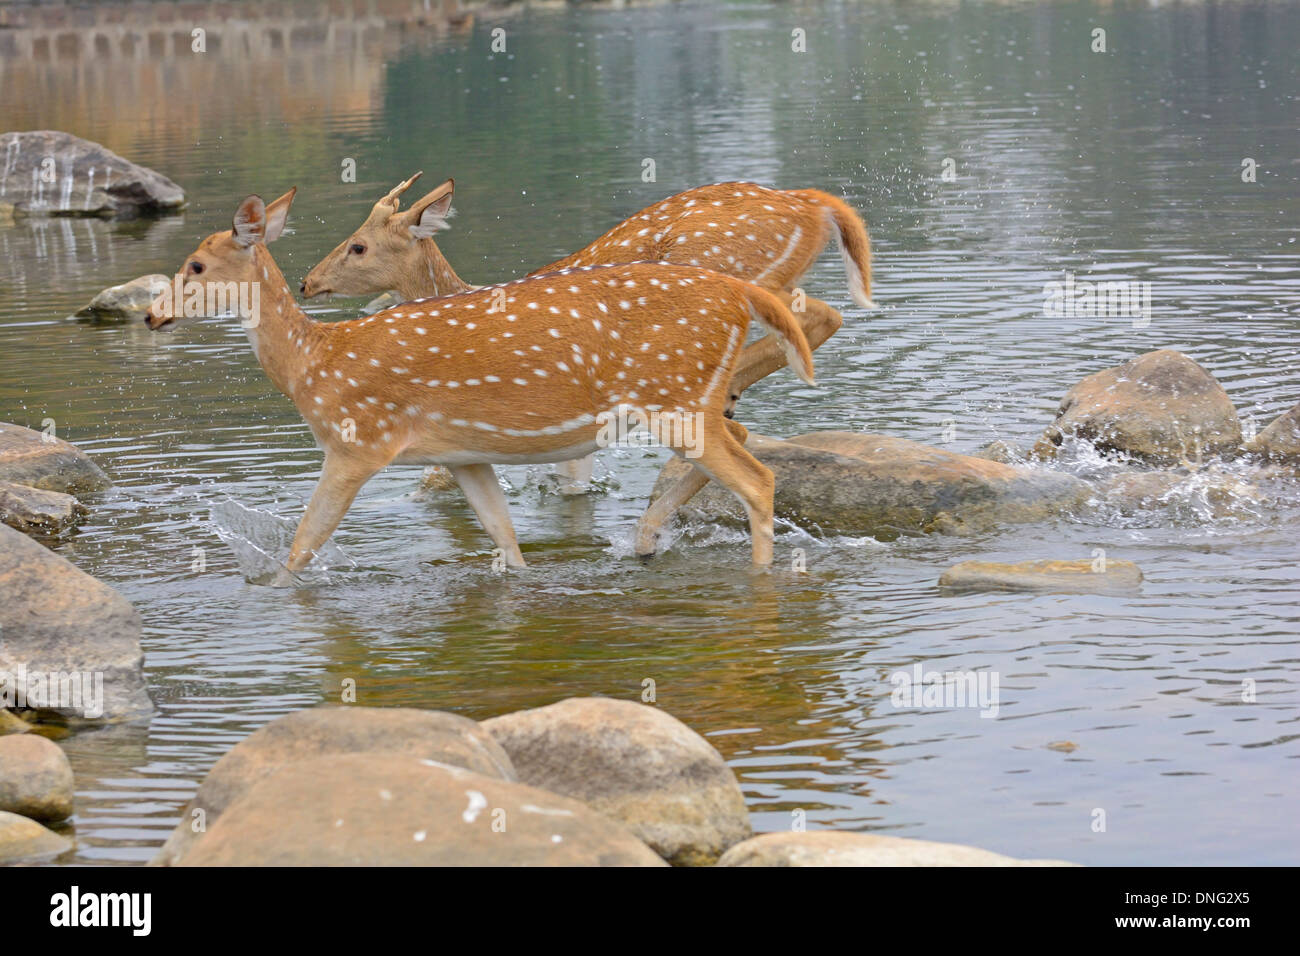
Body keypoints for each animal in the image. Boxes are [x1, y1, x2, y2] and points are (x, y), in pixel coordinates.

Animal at [144, 189, 816, 580]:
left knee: (757, 478)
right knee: (744, 441)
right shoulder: (463, 453)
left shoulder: (357, 441)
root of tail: (737, 293)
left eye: (196, 265)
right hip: (690, 400)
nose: (152, 315)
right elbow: (505, 540)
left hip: (675, 398)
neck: (314, 363)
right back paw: (649, 541)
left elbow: (304, 543)